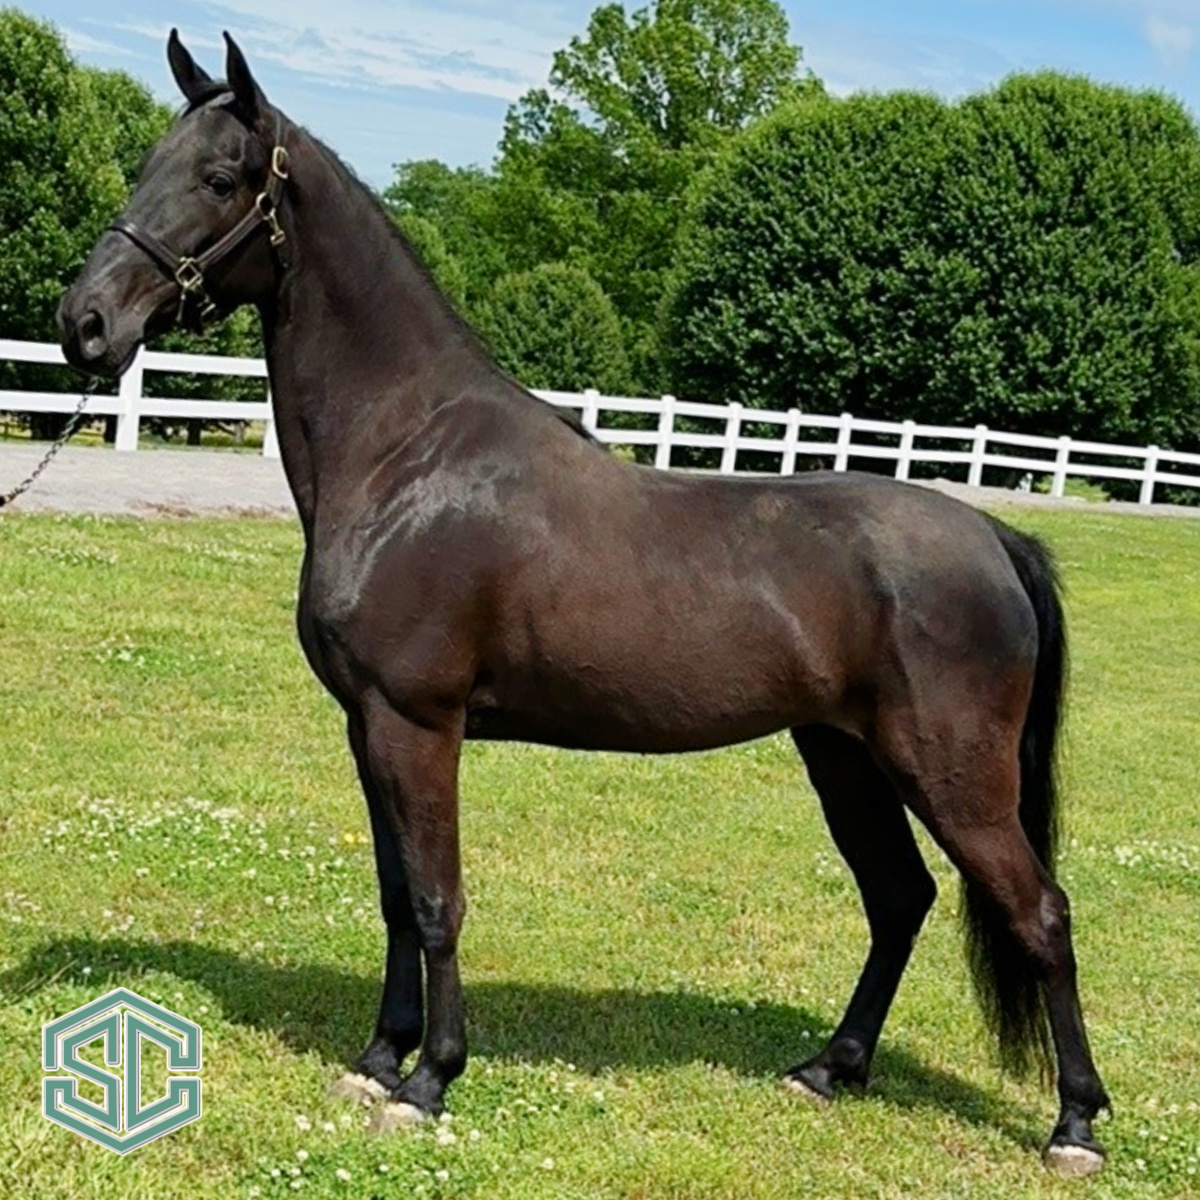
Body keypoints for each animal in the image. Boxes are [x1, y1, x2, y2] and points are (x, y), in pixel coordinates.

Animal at [57, 31, 1110, 1176]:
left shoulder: (417, 724)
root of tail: (997, 538)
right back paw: (830, 1070)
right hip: (846, 757)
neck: (407, 453)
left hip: (952, 775)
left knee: (1039, 913)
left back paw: (1074, 1126)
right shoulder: (365, 726)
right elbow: (394, 897)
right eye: (147, 165)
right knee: (900, 899)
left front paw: (430, 1080)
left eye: (218, 178)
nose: (84, 323)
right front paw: (378, 1060)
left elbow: (437, 899)